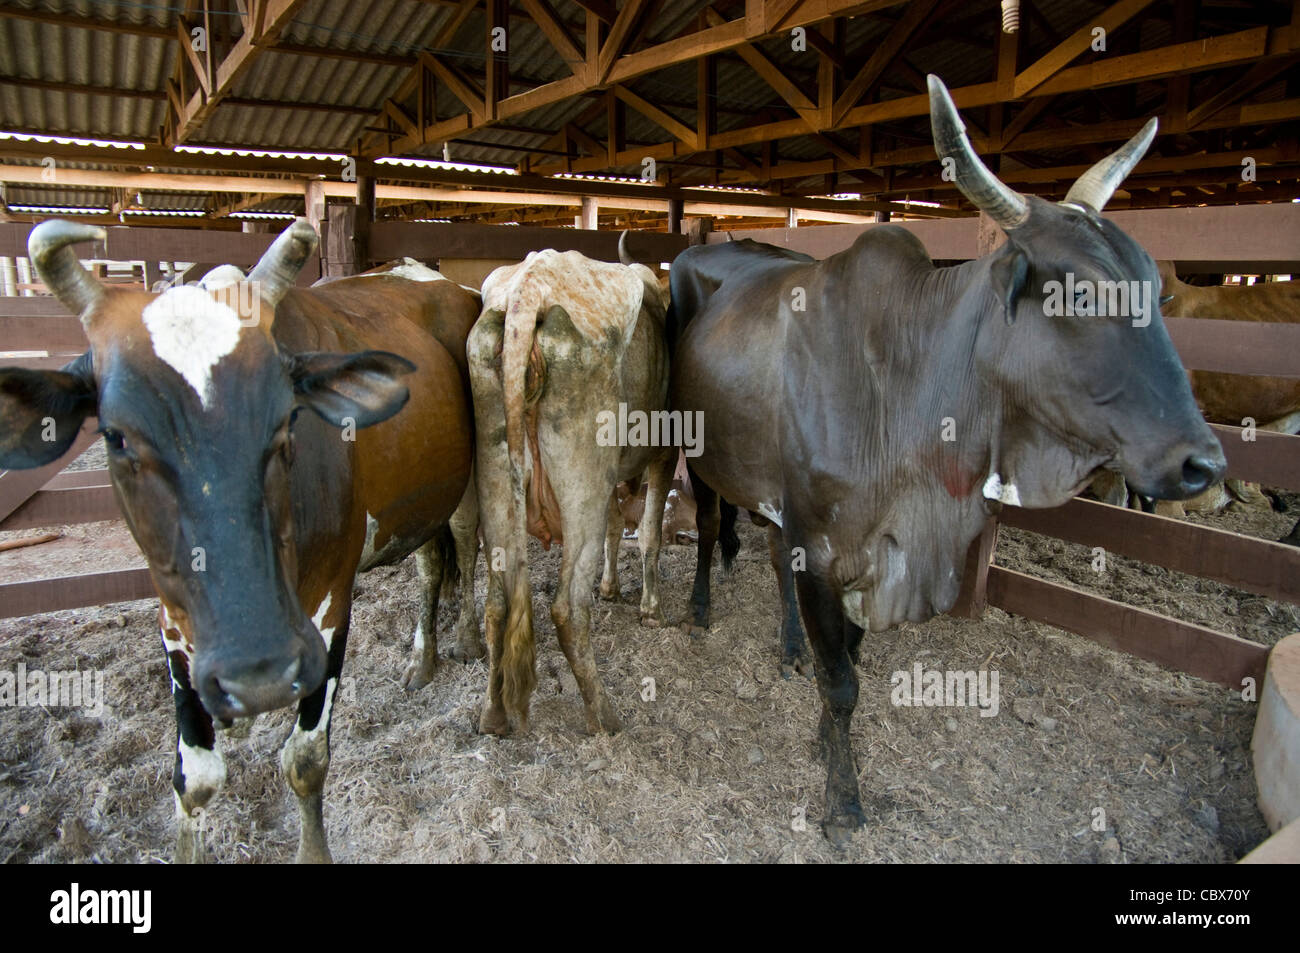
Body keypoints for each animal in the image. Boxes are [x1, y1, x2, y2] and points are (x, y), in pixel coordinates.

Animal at [0, 218, 480, 863]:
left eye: (288, 421)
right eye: (116, 436)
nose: (260, 673)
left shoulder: (328, 604)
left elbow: (305, 759)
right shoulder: (174, 618)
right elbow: (195, 779)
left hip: (469, 483)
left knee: (467, 547)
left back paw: (467, 638)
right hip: (421, 493)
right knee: (430, 561)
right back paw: (421, 659)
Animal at [468, 249, 675, 736]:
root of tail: (529, 289)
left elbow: (618, 525)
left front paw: (611, 586)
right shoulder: (664, 453)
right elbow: (649, 534)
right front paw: (649, 609)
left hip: (496, 483)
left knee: (497, 605)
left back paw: (492, 715)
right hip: (584, 488)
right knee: (567, 609)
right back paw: (604, 715)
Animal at [668, 75, 1226, 843]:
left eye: (1155, 288)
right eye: (1078, 292)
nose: (1202, 463)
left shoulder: (872, 550)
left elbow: (849, 661)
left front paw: (821, 737)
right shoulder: (823, 544)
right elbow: (843, 680)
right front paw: (843, 800)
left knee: (771, 554)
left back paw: (787, 645)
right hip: (694, 445)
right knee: (709, 522)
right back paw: (699, 608)